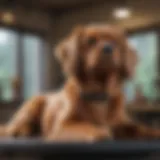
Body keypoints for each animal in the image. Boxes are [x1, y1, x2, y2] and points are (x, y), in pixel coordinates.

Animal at [0, 23, 160, 141]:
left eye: (115, 42)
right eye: (90, 41)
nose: (108, 48)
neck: (98, 92)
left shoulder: (122, 123)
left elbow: (139, 127)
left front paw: (154, 131)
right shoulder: (62, 126)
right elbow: (84, 125)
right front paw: (99, 131)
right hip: (32, 104)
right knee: (12, 127)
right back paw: (22, 131)